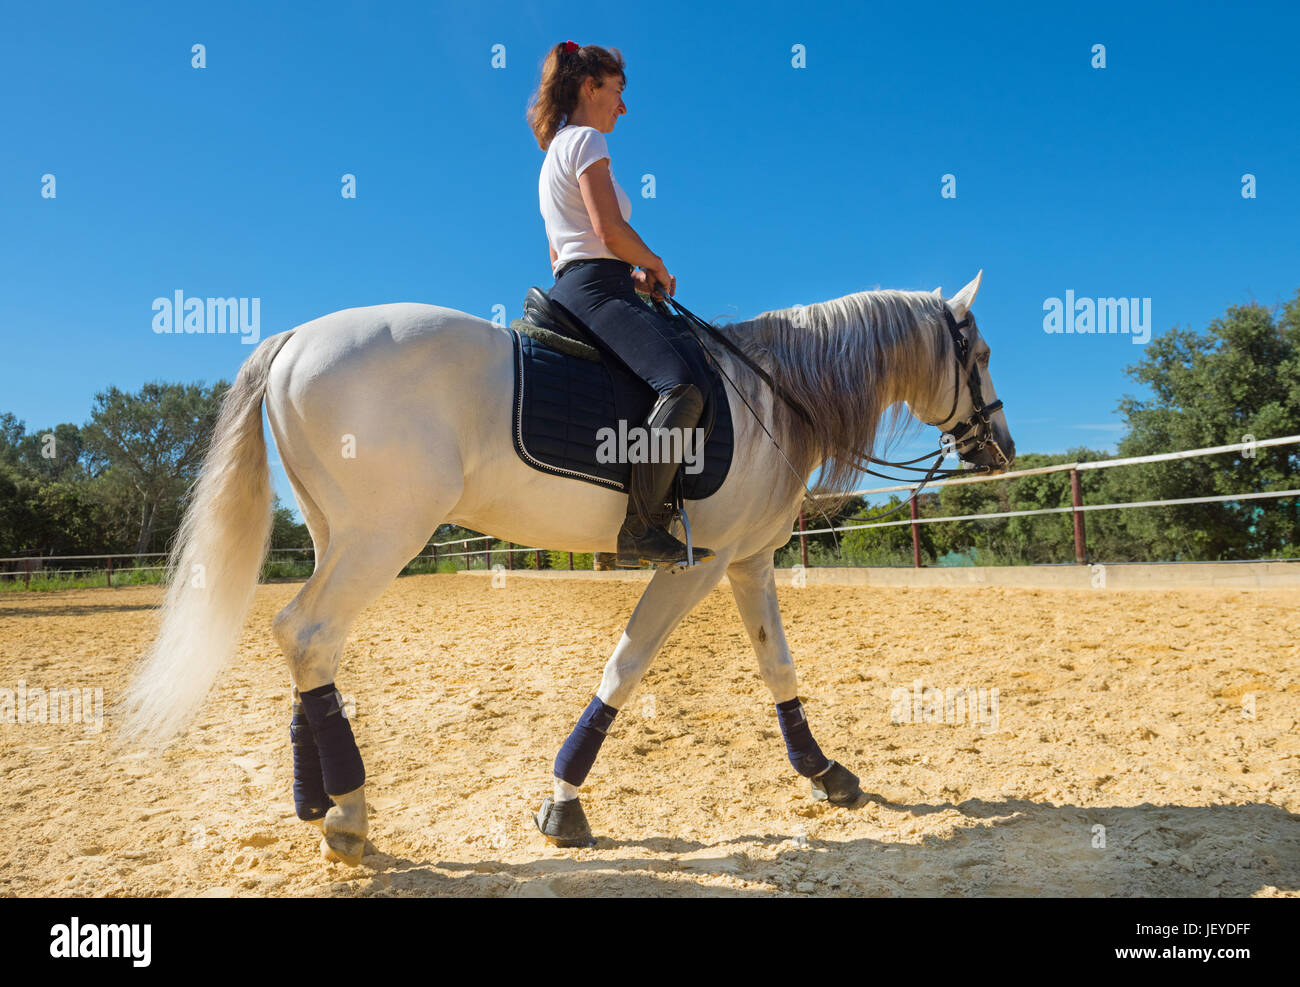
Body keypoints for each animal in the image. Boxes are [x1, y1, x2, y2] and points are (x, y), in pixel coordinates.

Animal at [121, 270, 1014, 865]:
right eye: (980, 353)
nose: (999, 447)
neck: (773, 394)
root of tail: (294, 339)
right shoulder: (697, 564)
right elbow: (626, 665)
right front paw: (565, 802)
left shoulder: (750, 561)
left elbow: (778, 667)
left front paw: (825, 771)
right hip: (383, 533)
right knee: (308, 630)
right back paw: (349, 814)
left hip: (335, 532)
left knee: (307, 641)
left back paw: (316, 801)